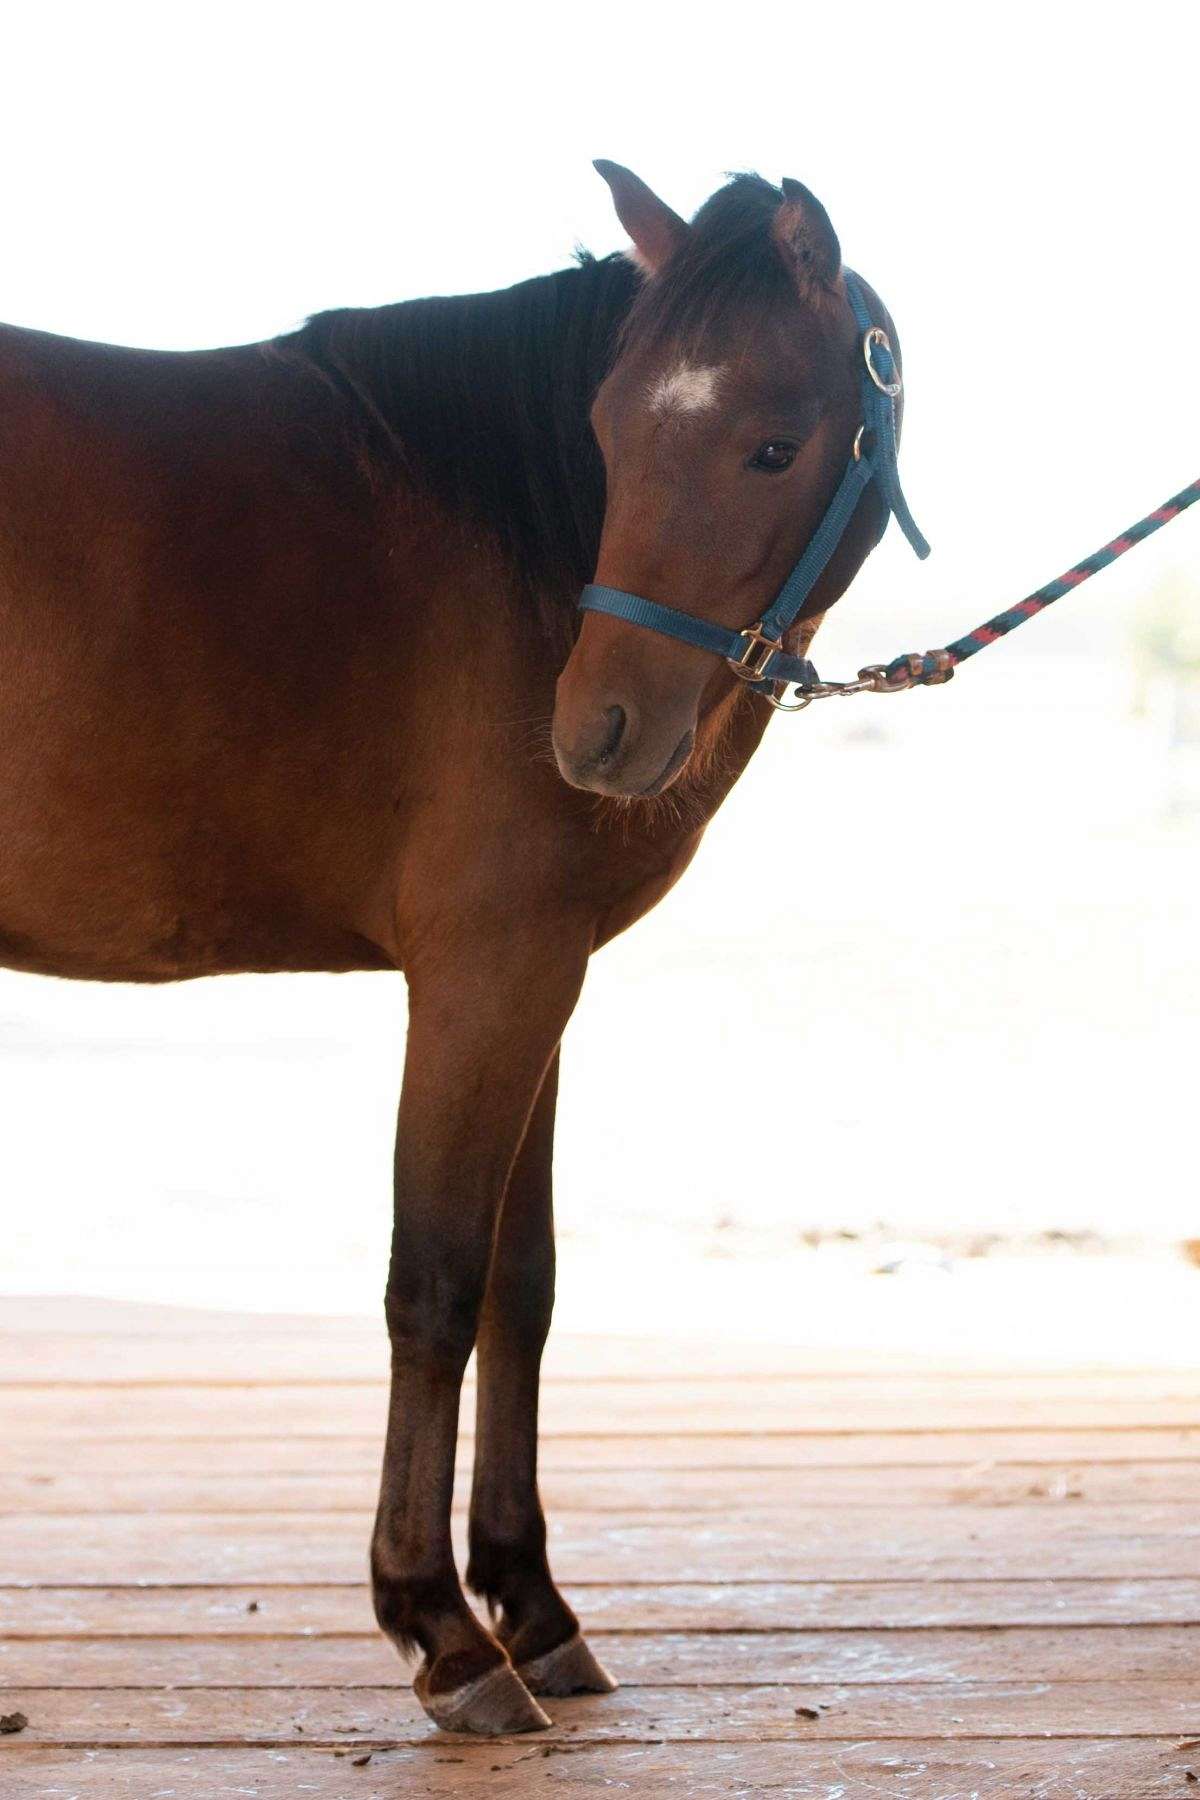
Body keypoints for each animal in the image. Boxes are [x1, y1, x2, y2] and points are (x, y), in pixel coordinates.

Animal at [0, 162, 907, 1733]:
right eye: (607, 435)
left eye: (772, 446)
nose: (596, 733)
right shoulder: (486, 974)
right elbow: (431, 1284)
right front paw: (439, 1625)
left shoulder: (542, 980)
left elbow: (516, 1290)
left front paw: (531, 1604)